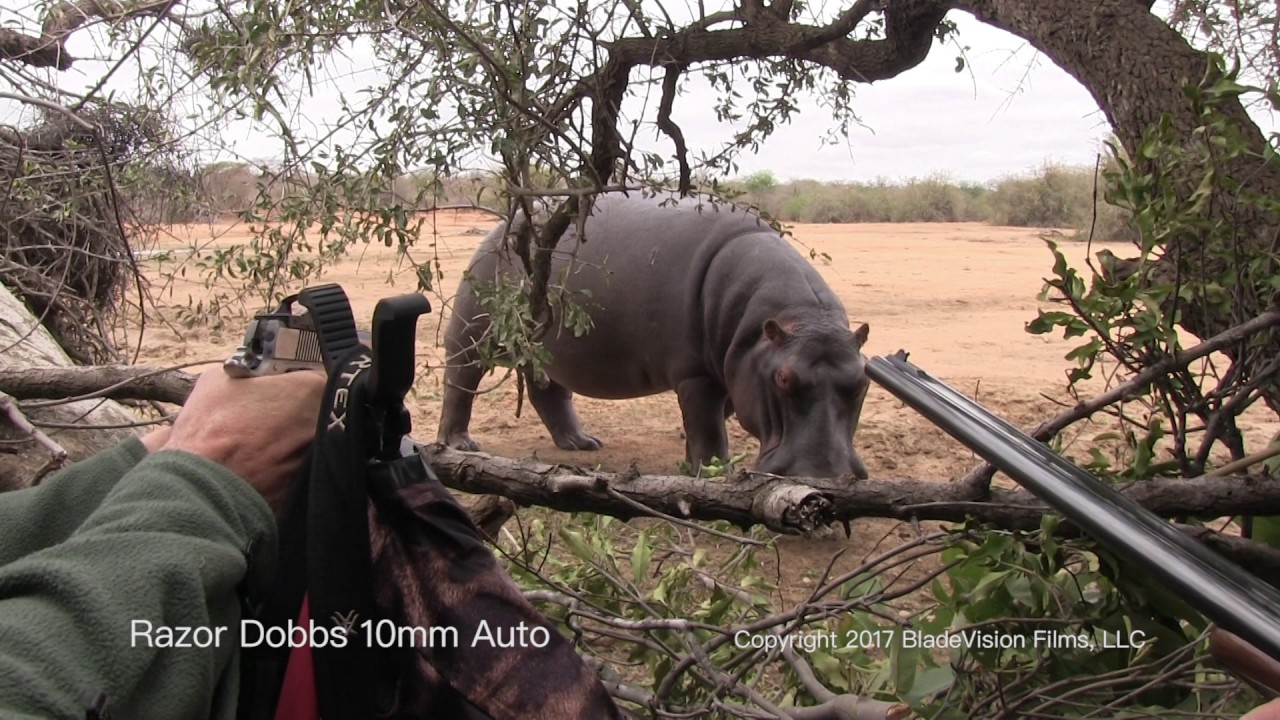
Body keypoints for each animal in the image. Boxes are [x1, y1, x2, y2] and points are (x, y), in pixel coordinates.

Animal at [436, 193, 871, 479]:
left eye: (863, 380)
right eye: (783, 378)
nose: (821, 478)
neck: (795, 319)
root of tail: (500, 228)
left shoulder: (733, 371)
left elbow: (707, 421)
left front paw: (694, 462)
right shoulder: (696, 373)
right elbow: (707, 424)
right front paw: (713, 472)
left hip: (548, 350)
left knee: (548, 392)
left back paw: (582, 443)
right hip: (472, 331)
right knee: (460, 381)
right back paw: (460, 445)